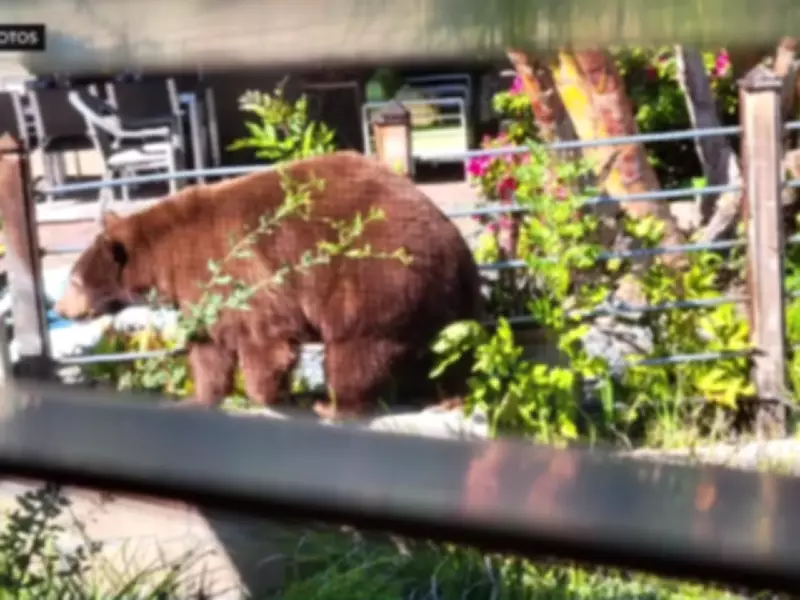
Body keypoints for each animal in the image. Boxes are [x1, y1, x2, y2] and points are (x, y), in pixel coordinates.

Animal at [54, 151, 484, 419]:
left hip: (377, 279)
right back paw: (447, 396)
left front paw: (271, 395)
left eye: (73, 279)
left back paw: (335, 406)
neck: (165, 256)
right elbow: (209, 347)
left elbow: (260, 336)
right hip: (442, 301)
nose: (60, 308)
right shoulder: (200, 294)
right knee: (449, 350)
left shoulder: (229, 269)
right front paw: (196, 399)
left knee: (356, 349)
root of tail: (458, 249)